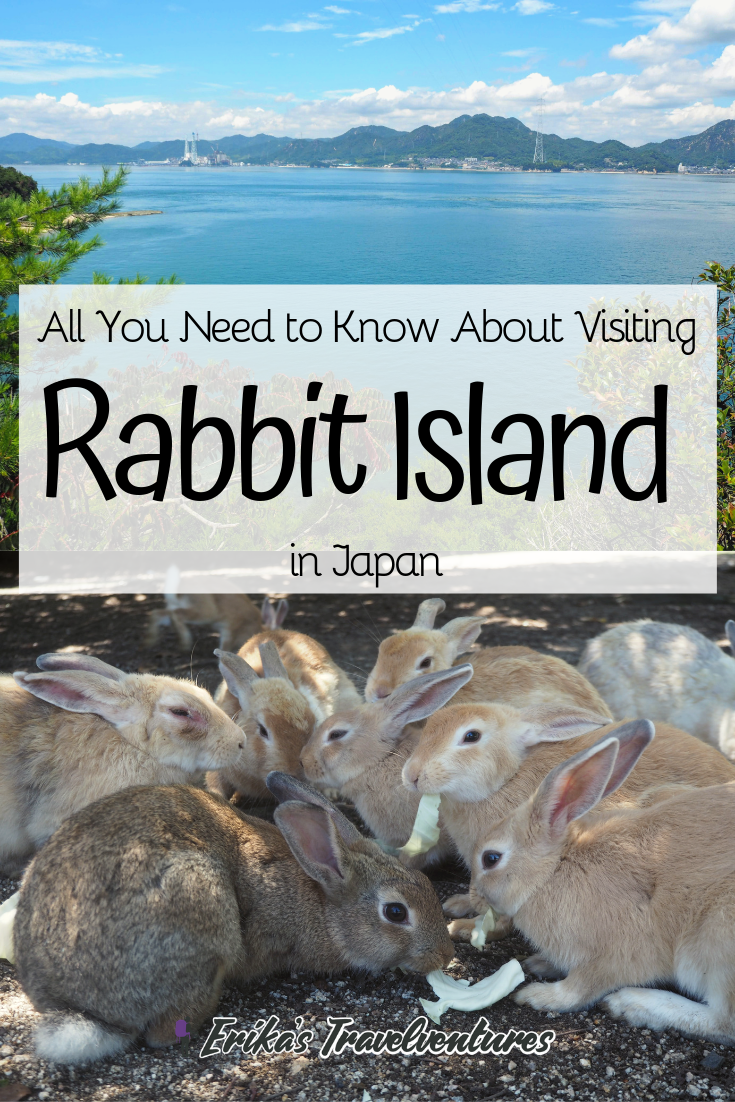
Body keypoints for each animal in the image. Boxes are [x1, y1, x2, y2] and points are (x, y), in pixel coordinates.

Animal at [13, 772, 455, 1065]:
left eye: (423, 882)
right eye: (396, 912)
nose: (445, 955)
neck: (324, 901)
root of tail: (77, 1008)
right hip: (202, 911)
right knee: (162, 1032)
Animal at [146, 593, 287, 653]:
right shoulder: (230, 630)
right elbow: (225, 647)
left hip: (173, 608)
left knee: (157, 614)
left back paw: (149, 641)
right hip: (205, 612)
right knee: (177, 615)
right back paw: (185, 644)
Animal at [402, 702, 735, 926]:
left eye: (471, 736)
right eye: (430, 726)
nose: (412, 775)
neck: (507, 778)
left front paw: (466, 927)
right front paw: (458, 905)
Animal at [471, 730, 735, 1044]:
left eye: (491, 858)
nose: (474, 896)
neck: (552, 870)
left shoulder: (612, 956)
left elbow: (579, 989)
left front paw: (539, 995)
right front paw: (540, 964)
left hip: (717, 939)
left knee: (722, 1021)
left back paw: (630, 1003)